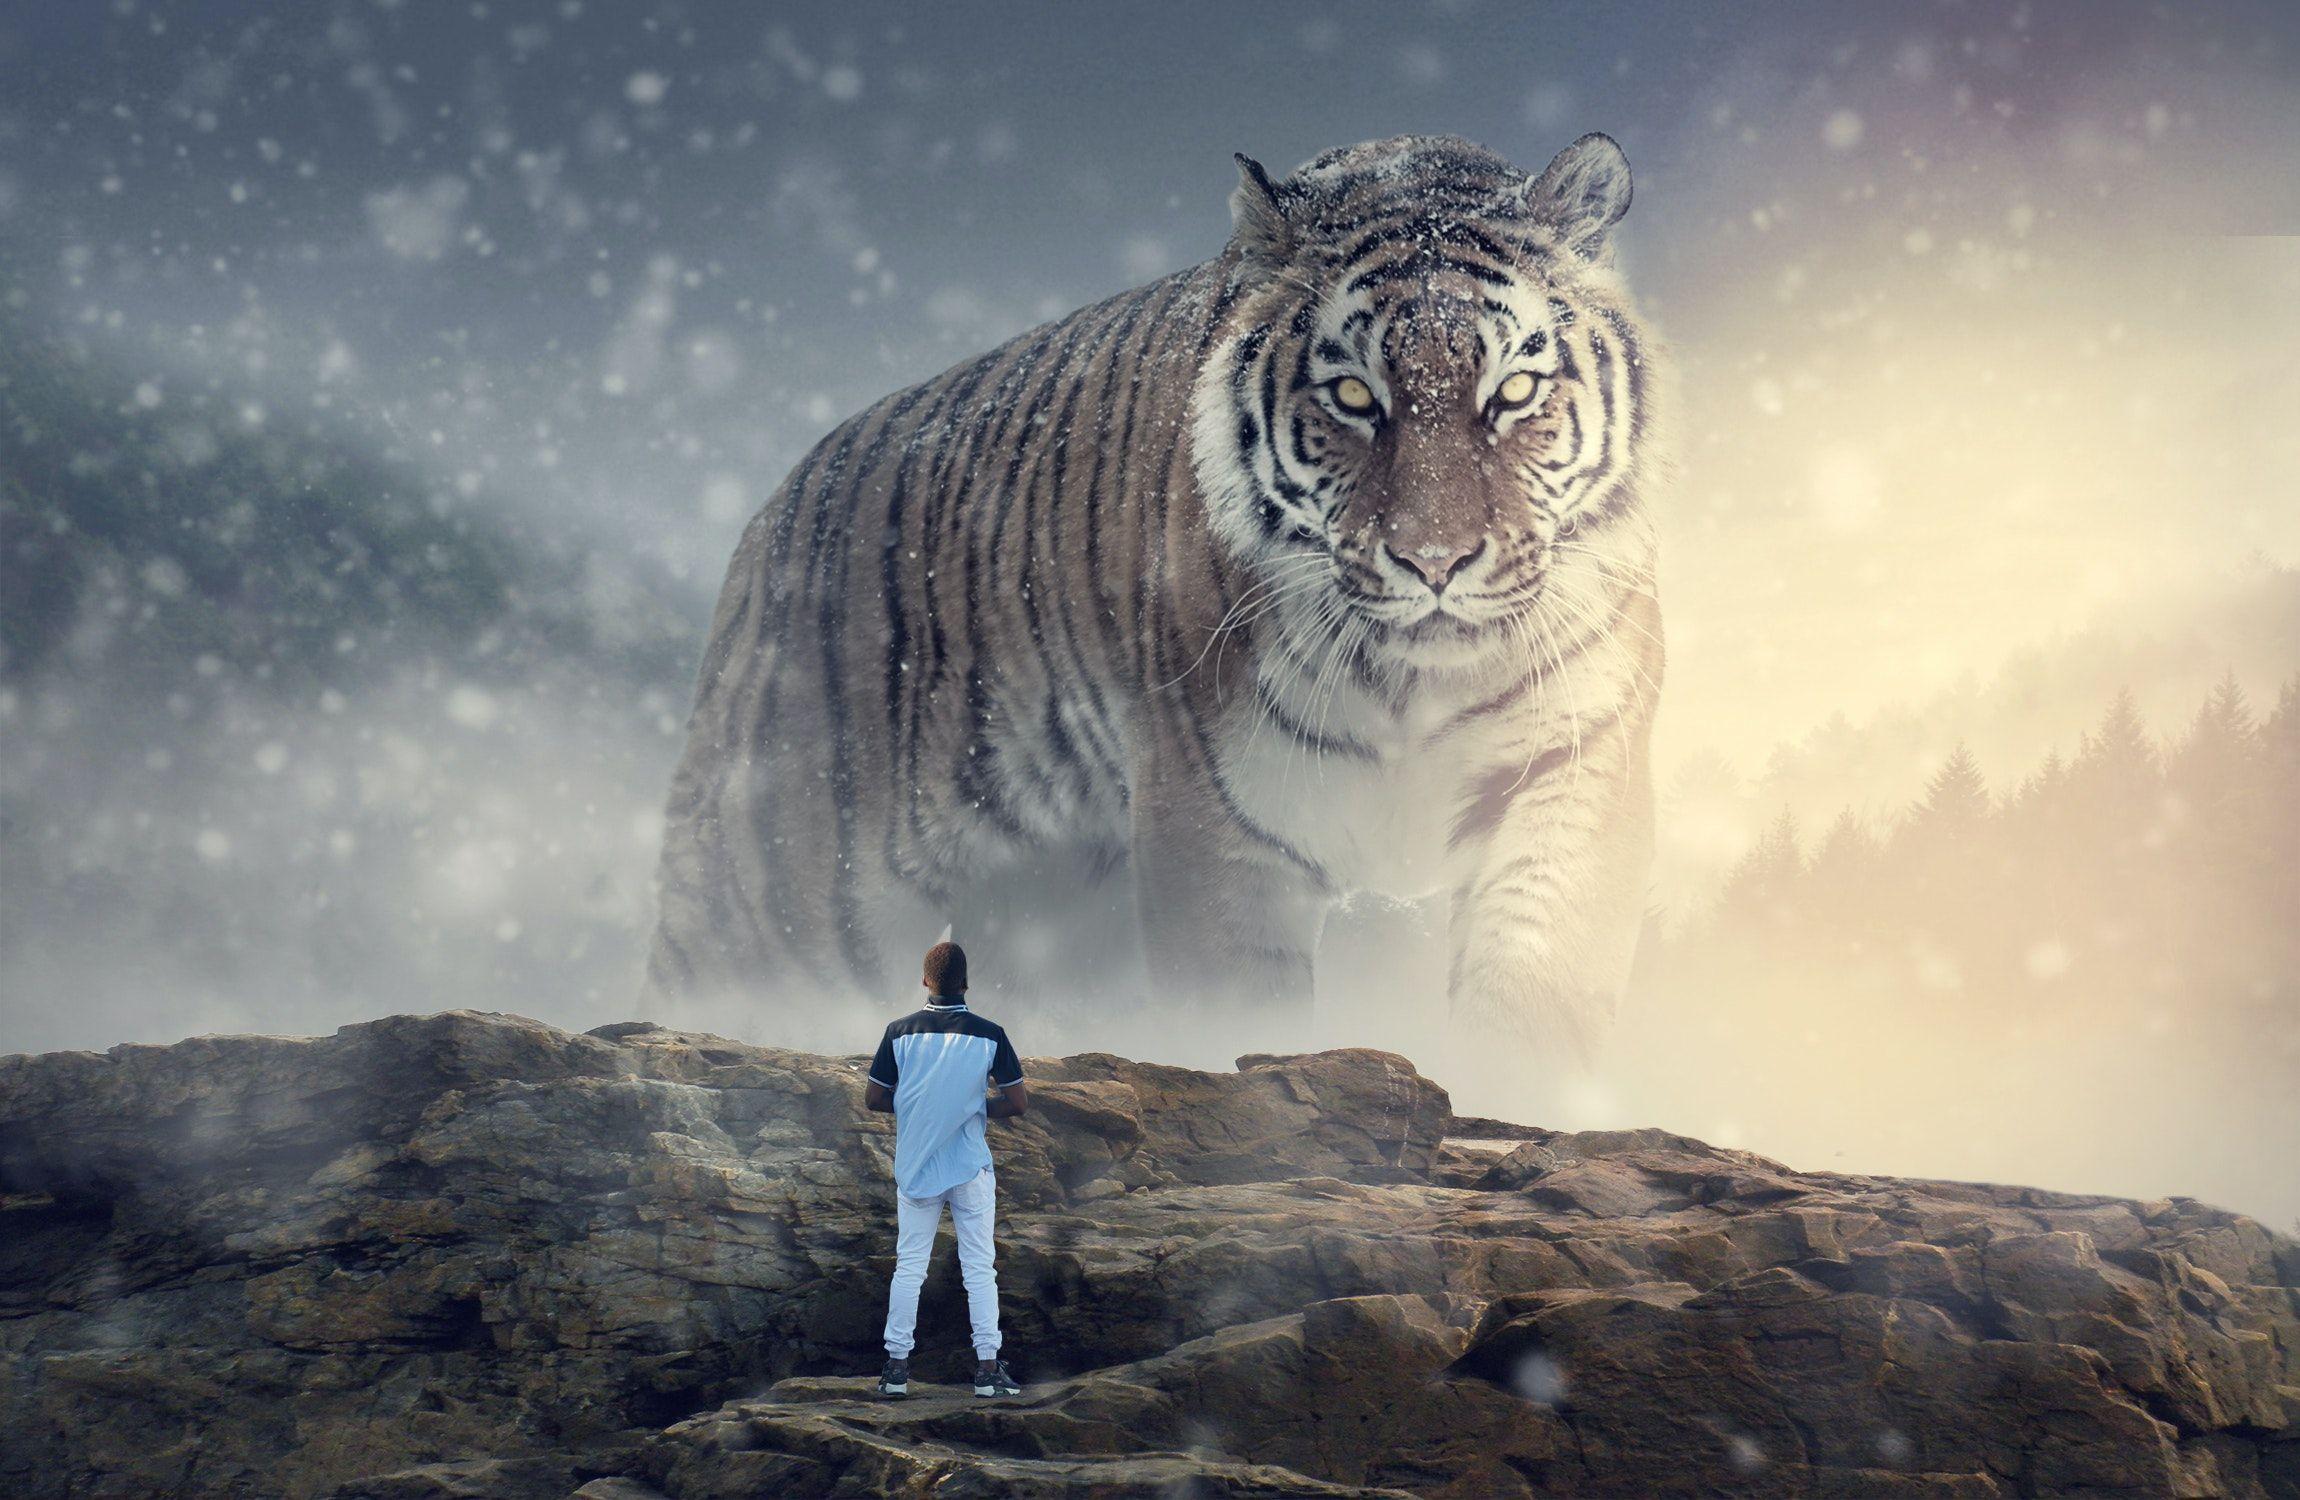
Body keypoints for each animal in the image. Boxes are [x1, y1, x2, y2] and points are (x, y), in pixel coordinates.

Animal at [643, 133, 1666, 1091]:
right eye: (1352, 395)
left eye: (1515, 391)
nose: (1435, 561)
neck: (1413, 684)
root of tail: (769, 517)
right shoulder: (1213, 829)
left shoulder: (1574, 771)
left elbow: (1531, 997)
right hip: (768, 911)